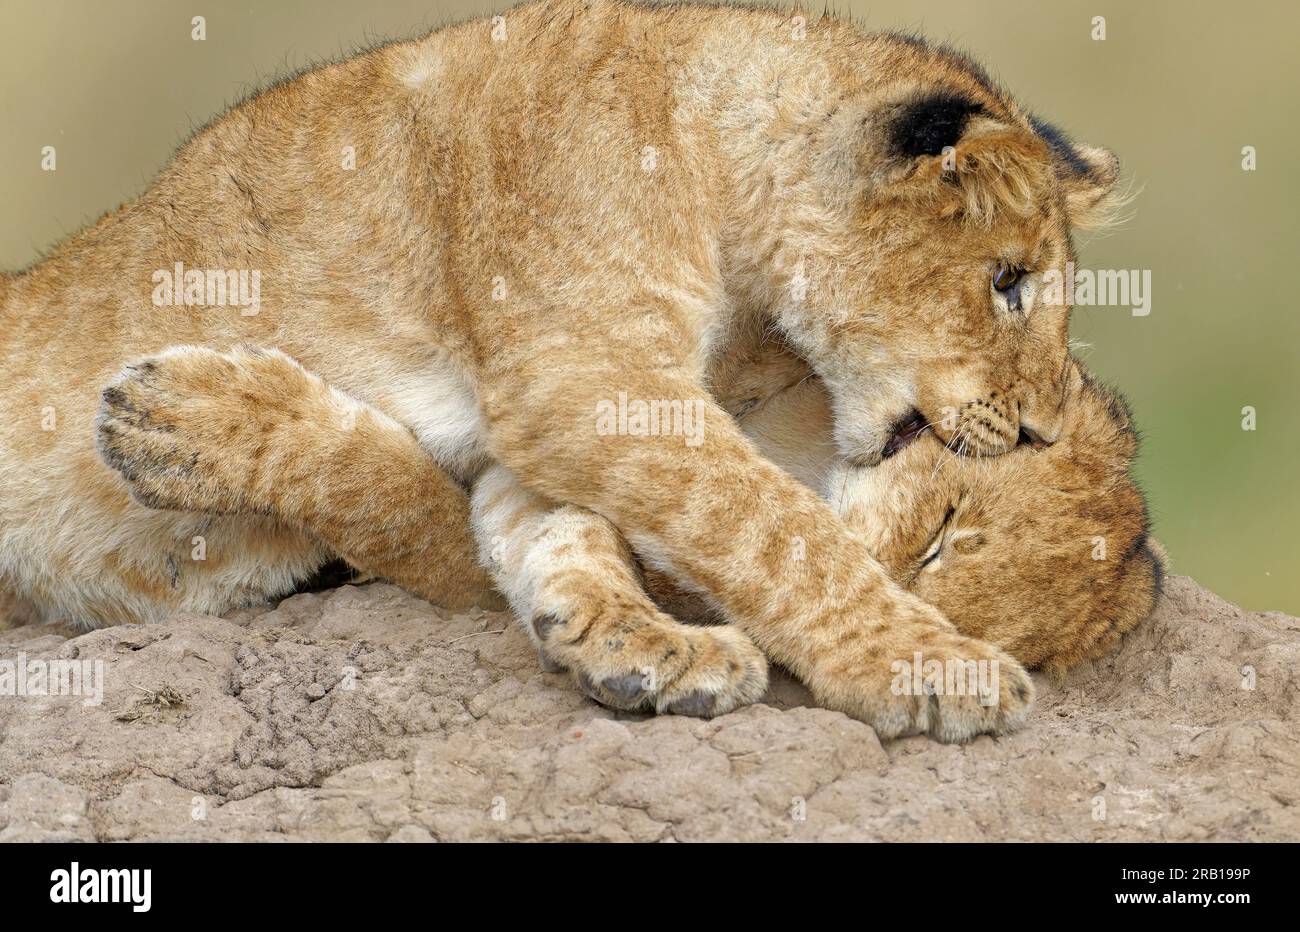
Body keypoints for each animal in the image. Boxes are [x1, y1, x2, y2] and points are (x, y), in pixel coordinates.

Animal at [1, 0, 1123, 741]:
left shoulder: (571, 407)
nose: (1038, 427)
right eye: (1010, 281)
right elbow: (773, 526)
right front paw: (930, 667)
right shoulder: (584, 381)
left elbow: (553, 529)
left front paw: (650, 648)